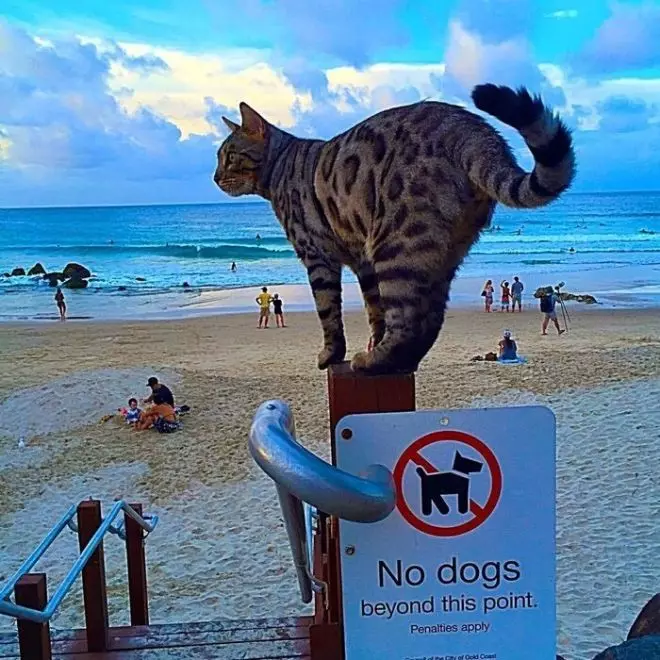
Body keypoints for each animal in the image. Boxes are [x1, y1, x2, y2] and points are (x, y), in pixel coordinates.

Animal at [214, 84, 576, 374]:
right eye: (219, 158)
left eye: (229, 156)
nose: (215, 178)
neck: (280, 168)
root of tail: (469, 127)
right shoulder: (363, 261)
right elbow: (375, 310)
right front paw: (372, 340)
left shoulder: (318, 257)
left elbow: (329, 314)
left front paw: (333, 355)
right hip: (438, 251)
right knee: (429, 319)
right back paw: (397, 360)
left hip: (396, 243)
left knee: (410, 321)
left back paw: (374, 361)